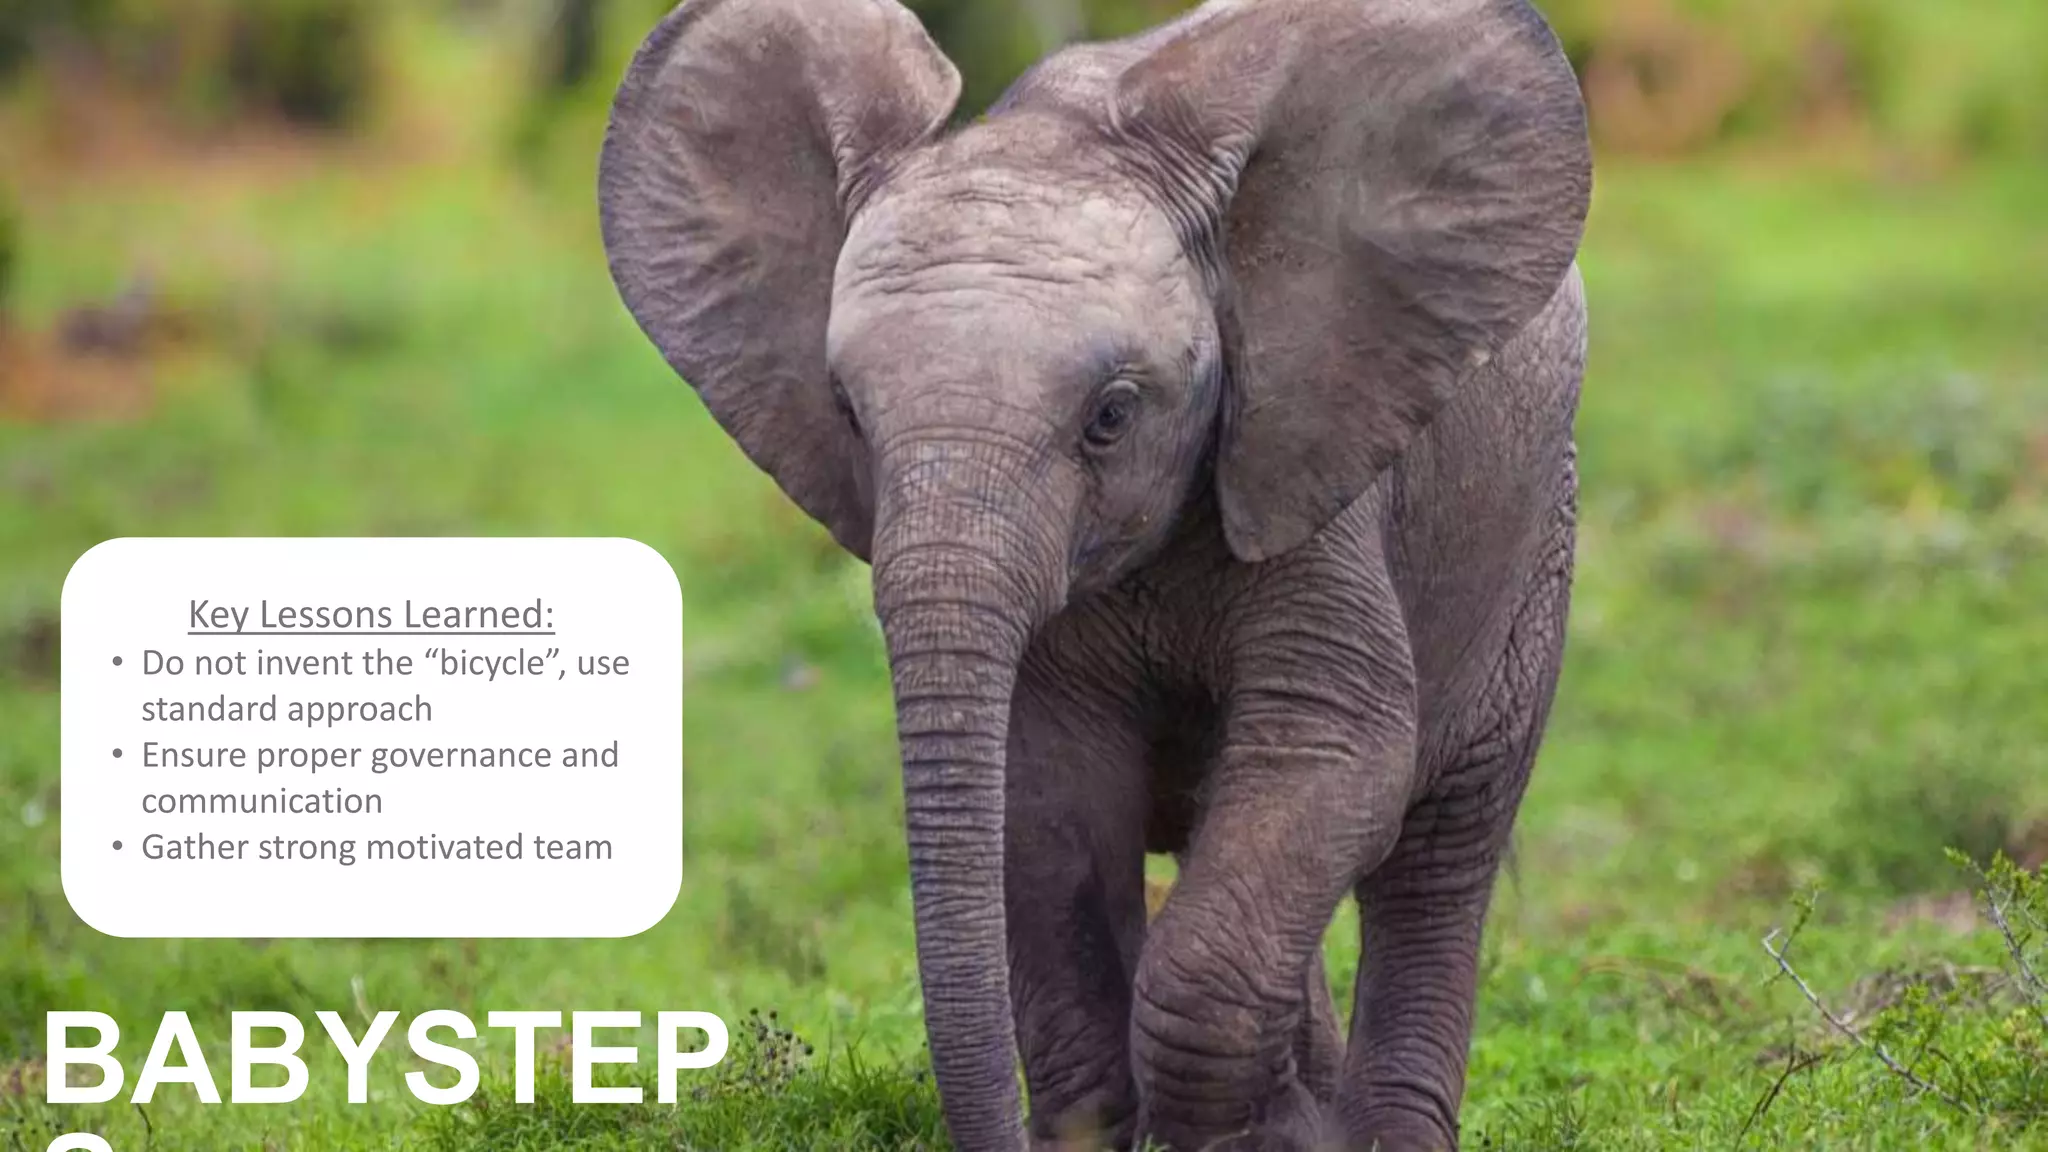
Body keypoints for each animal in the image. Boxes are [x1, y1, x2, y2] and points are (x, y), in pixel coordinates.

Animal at [598, 0, 1591, 1147]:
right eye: (847, 412)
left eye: (1111, 415)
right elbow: (1048, 801)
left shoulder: (1313, 475)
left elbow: (1331, 755)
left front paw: (1253, 1133)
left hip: (1534, 527)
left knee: (1442, 846)